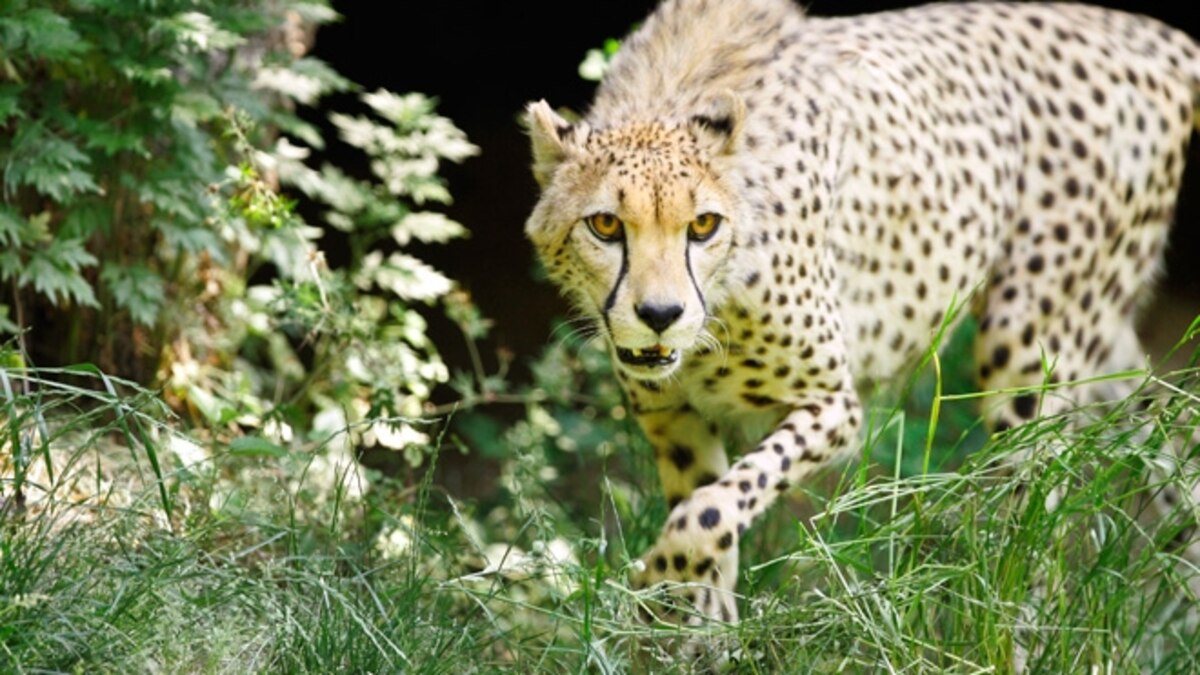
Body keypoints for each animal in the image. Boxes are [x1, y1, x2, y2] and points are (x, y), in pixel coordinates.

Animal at [524, 0, 1200, 625]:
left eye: (704, 225)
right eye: (606, 225)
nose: (661, 314)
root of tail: (1150, 32)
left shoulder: (834, 405)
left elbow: (706, 514)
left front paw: (662, 578)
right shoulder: (675, 419)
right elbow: (711, 520)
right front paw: (700, 631)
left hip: (1027, 347)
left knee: (1032, 535)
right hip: (1098, 335)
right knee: (1162, 442)